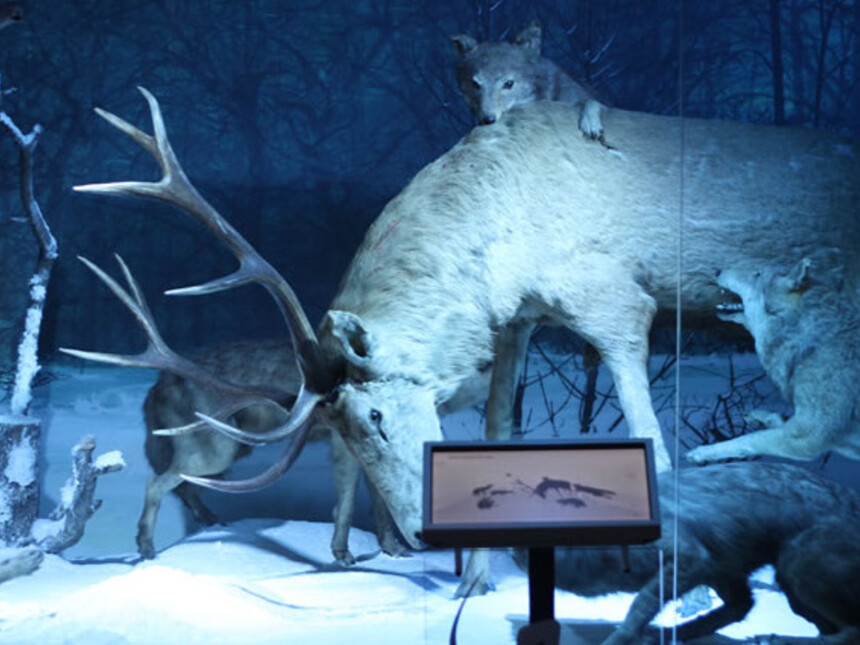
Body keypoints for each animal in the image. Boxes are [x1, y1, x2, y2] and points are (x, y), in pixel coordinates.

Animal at [138, 337, 403, 564]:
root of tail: (156, 386)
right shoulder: (342, 444)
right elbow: (347, 503)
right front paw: (342, 554)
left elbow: (382, 505)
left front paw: (393, 549)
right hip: (217, 455)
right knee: (156, 485)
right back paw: (146, 547)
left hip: (231, 451)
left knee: (184, 488)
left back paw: (209, 521)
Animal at [518, 462, 860, 644]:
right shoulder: (719, 567)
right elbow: (739, 606)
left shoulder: (689, 555)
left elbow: (642, 601)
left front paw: (621, 637)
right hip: (784, 583)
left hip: (797, 563)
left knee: (850, 630)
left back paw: (778, 638)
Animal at [687, 256, 860, 464]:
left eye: (757, 274)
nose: (717, 270)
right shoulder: (839, 442)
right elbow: (774, 425)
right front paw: (763, 417)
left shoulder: (807, 435)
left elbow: (748, 439)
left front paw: (702, 452)